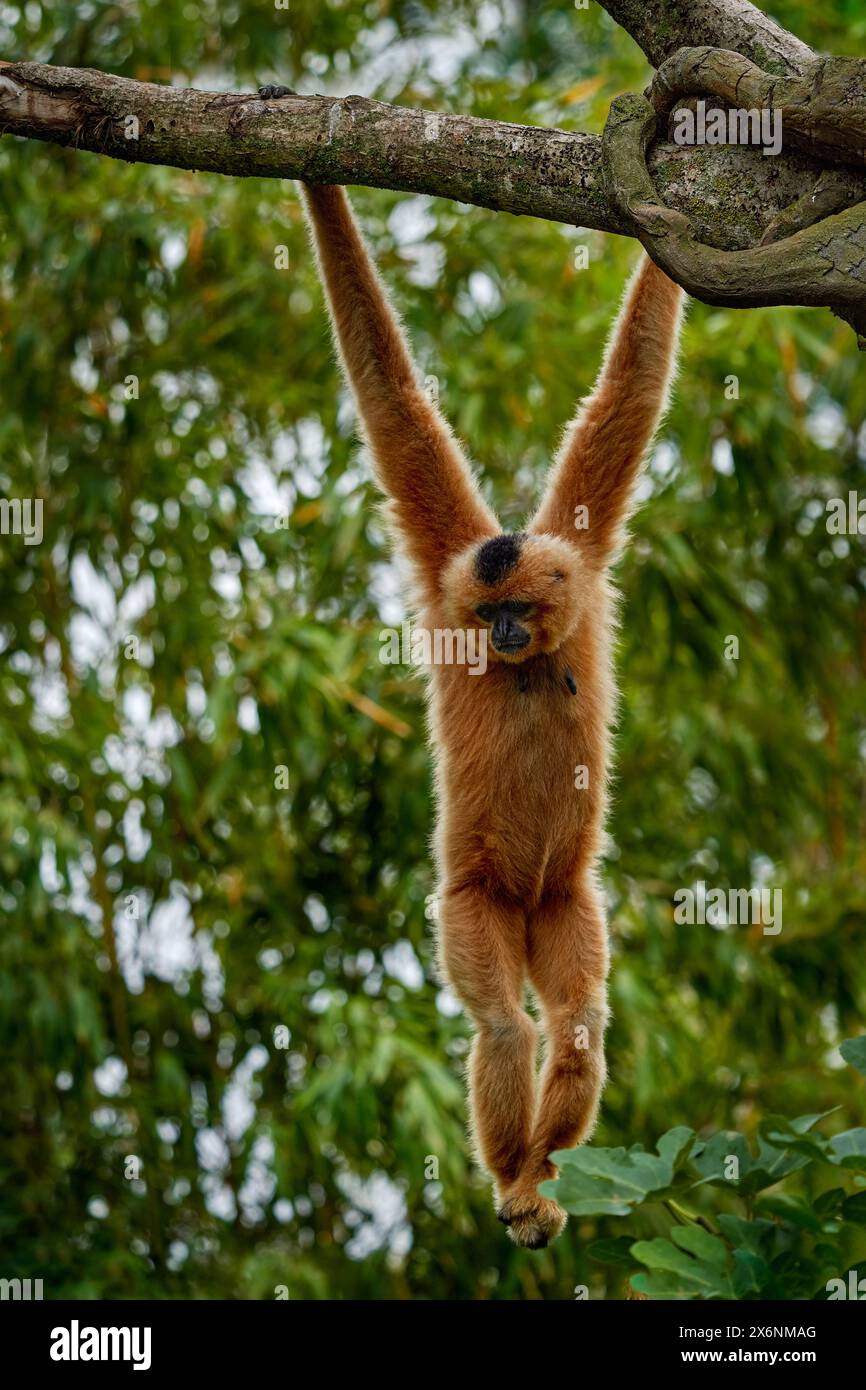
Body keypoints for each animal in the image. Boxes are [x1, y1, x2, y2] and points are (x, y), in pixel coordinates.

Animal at [300, 181, 685, 1248]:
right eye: (487, 616)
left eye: (518, 608)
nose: (507, 629)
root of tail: (519, 898)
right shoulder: (446, 580)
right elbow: (393, 399)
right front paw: (317, 179)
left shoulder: (581, 560)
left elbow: (631, 389)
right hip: (475, 902)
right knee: (506, 1027)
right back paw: (515, 1181)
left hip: (564, 901)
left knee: (578, 1027)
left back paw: (539, 1180)